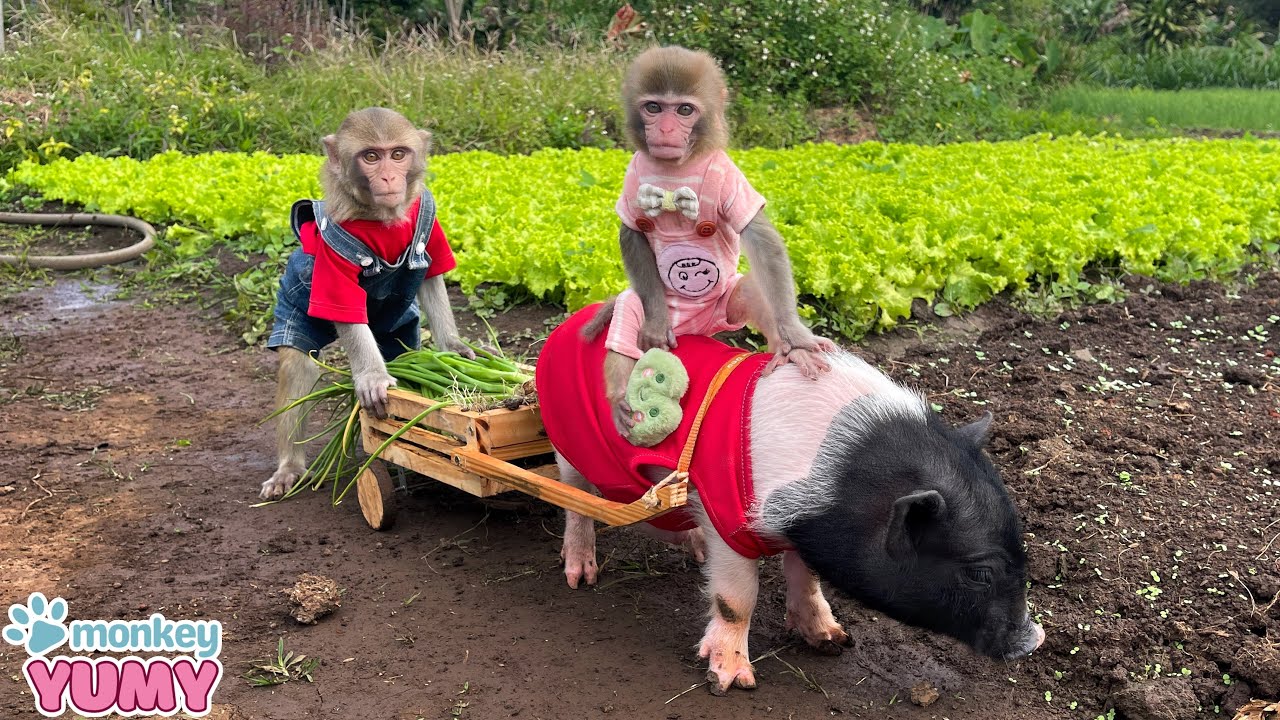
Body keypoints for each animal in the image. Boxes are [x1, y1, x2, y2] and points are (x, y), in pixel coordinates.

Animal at [259, 107, 473, 500]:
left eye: (398, 154)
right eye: (371, 157)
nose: (388, 176)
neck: (381, 218)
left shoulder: (427, 219)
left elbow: (431, 274)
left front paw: (452, 346)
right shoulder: (333, 253)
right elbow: (345, 312)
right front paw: (372, 377)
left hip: (400, 329)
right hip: (294, 301)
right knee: (299, 364)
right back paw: (290, 466)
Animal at [585, 46, 836, 436]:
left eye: (684, 110)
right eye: (654, 107)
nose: (666, 129)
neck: (676, 170)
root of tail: (696, 329)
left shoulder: (731, 179)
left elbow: (762, 241)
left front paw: (797, 337)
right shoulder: (631, 179)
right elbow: (632, 232)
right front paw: (654, 328)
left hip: (723, 311)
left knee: (752, 290)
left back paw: (786, 351)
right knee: (628, 314)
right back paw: (619, 402)